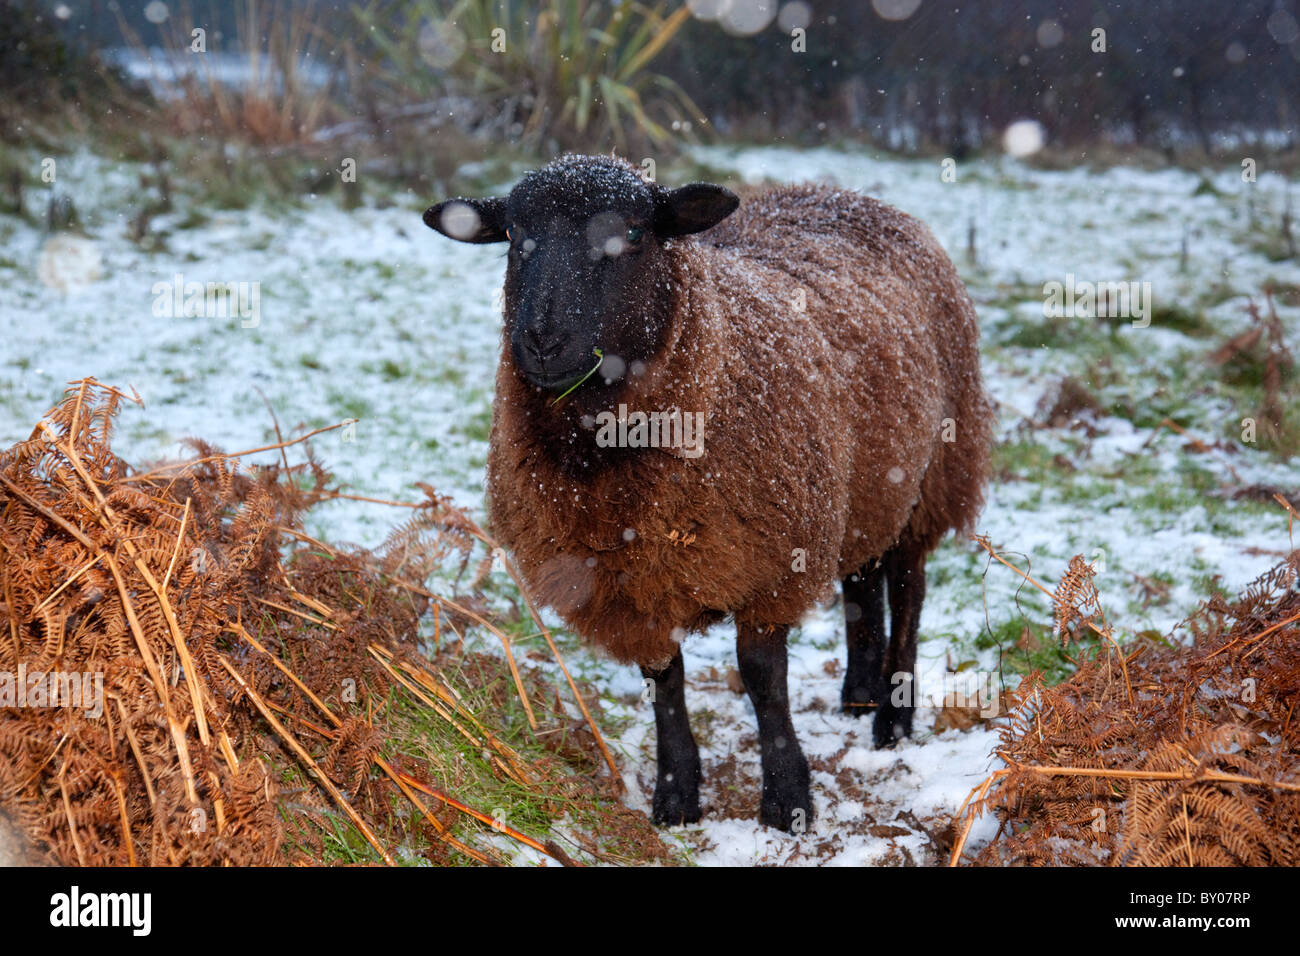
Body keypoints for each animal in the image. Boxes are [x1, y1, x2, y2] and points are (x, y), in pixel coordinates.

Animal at [423, 154, 993, 831]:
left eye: (633, 235)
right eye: (513, 238)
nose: (540, 341)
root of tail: (851, 195)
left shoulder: (771, 559)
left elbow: (762, 678)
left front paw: (786, 799)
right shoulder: (628, 580)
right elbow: (663, 679)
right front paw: (675, 796)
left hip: (934, 471)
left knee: (907, 584)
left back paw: (893, 718)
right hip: (863, 479)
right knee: (861, 575)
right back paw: (857, 692)